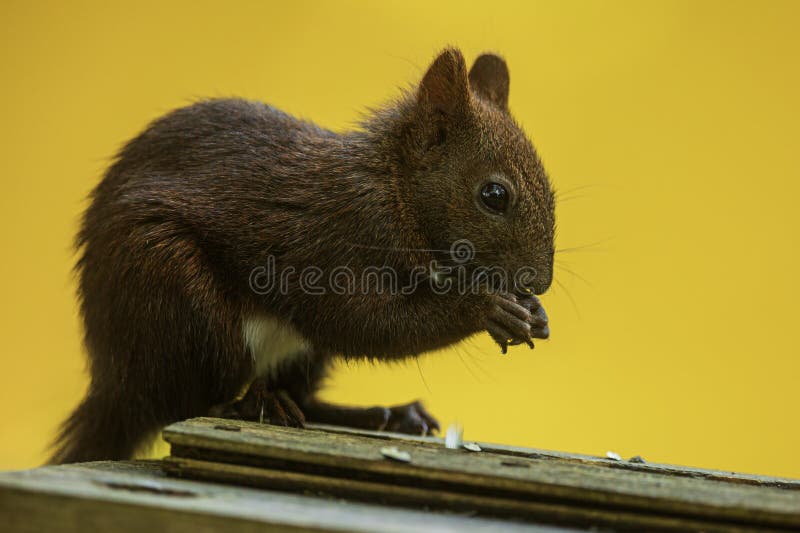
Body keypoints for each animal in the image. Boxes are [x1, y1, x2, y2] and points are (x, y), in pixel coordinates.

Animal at [50, 48, 555, 464]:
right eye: (494, 195)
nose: (542, 281)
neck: (393, 188)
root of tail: (115, 383)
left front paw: (533, 311)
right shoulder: (332, 244)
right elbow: (367, 323)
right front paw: (486, 308)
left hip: (300, 353)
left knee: (302, 398)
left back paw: (382, 414)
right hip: (174, 292)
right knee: (189, 400)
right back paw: (252, 403)